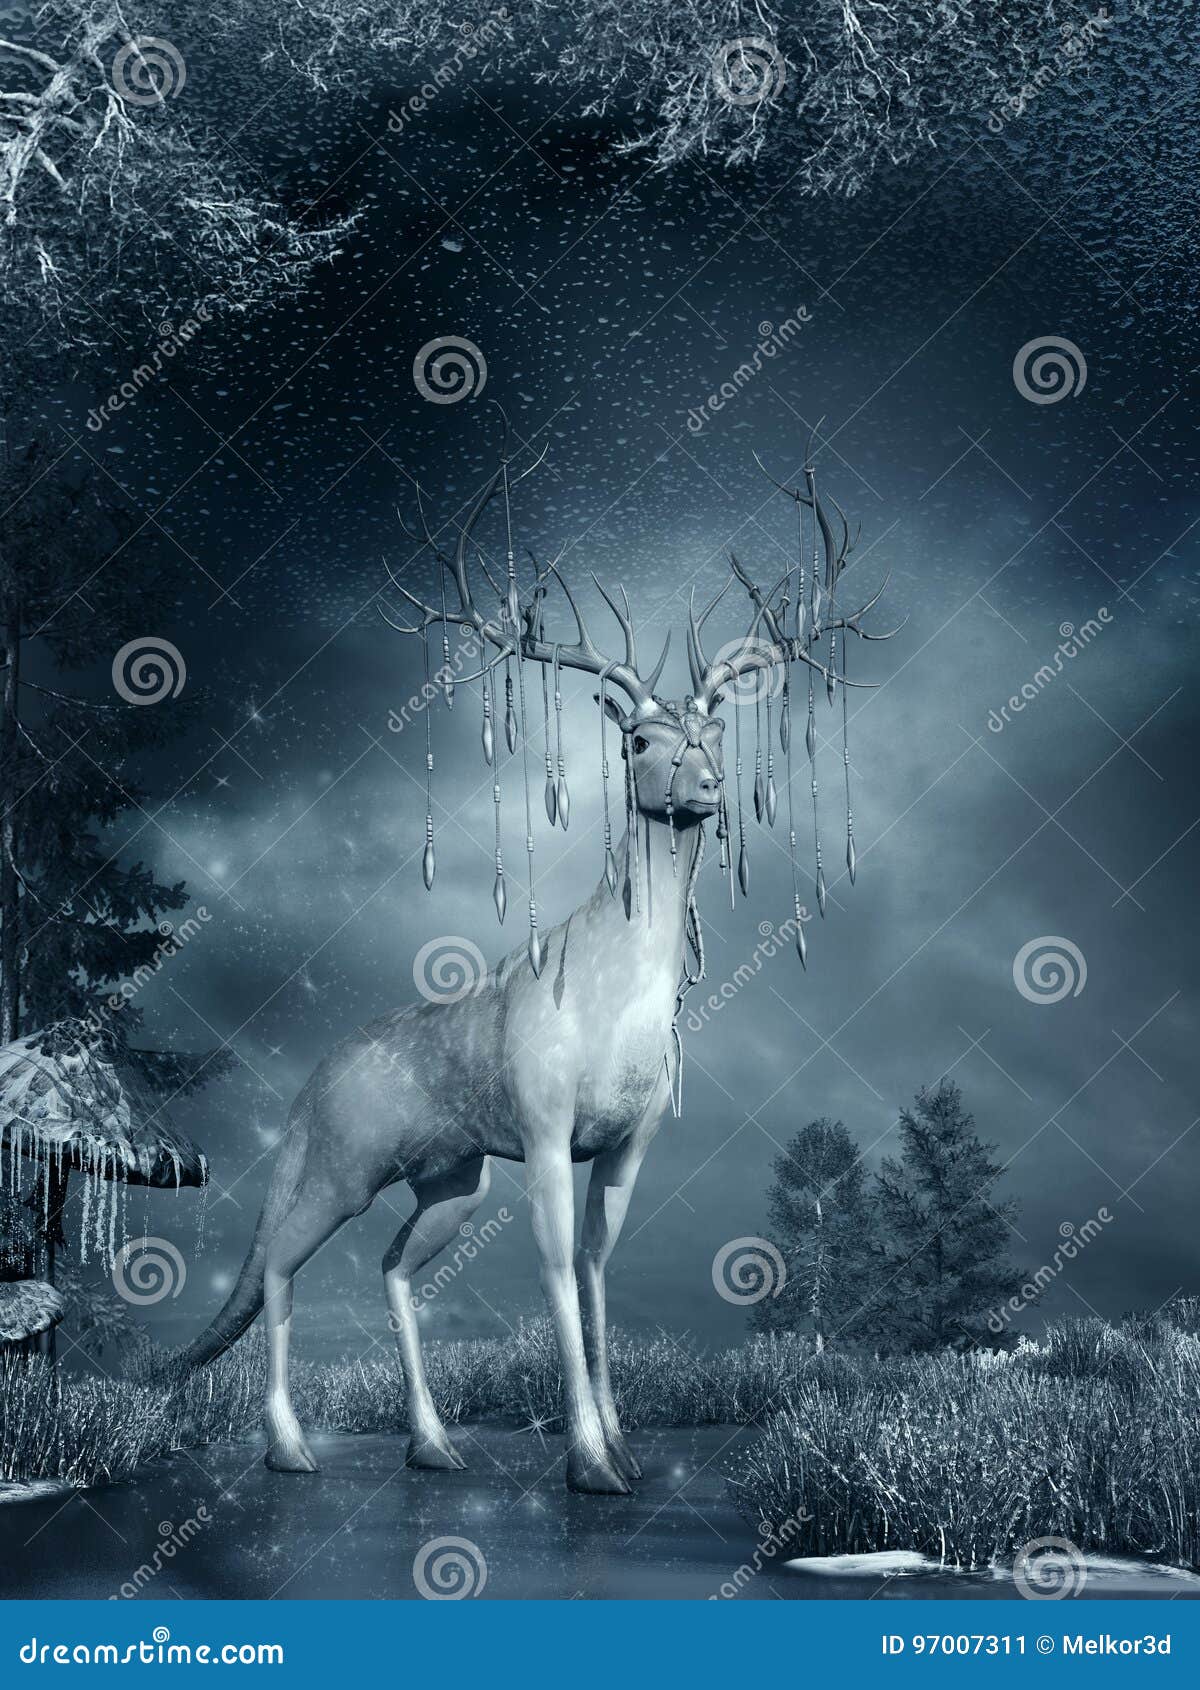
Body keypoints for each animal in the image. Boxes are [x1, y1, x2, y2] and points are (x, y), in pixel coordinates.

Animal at [179, 427, 893, 1494]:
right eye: (637, 741)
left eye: (714, 734)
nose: (710, 791)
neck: (619, 997)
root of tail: (310, 1082)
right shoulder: (547, 1127)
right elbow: (557, 1267)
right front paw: (588, 1461)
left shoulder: (629, 1140)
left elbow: (597, 1266)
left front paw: (623, 1444)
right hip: (345, 1164)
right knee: (277, 1267)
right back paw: (290, 1447)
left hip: (452, 1177)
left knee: (391, 1264)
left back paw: (431, 1445)